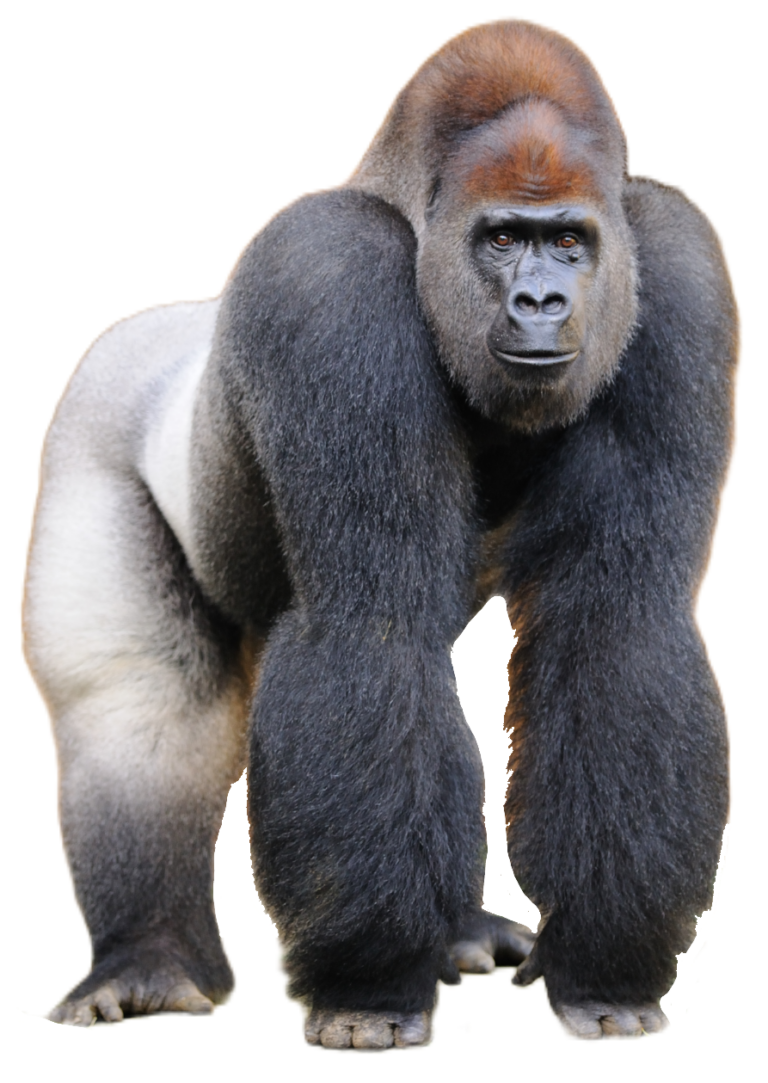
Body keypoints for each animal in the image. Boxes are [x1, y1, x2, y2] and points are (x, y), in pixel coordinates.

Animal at [21, 17, 740, 1048]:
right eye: (503, 240)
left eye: (568, 241)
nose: (542, 303)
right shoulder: (328, 276)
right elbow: (368, 624)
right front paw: (368, 985)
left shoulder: (681, 272)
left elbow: (619, 623)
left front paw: (605, 960)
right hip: (93, 409)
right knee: (140, 704)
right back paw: (149, 955)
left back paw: (455, 928)